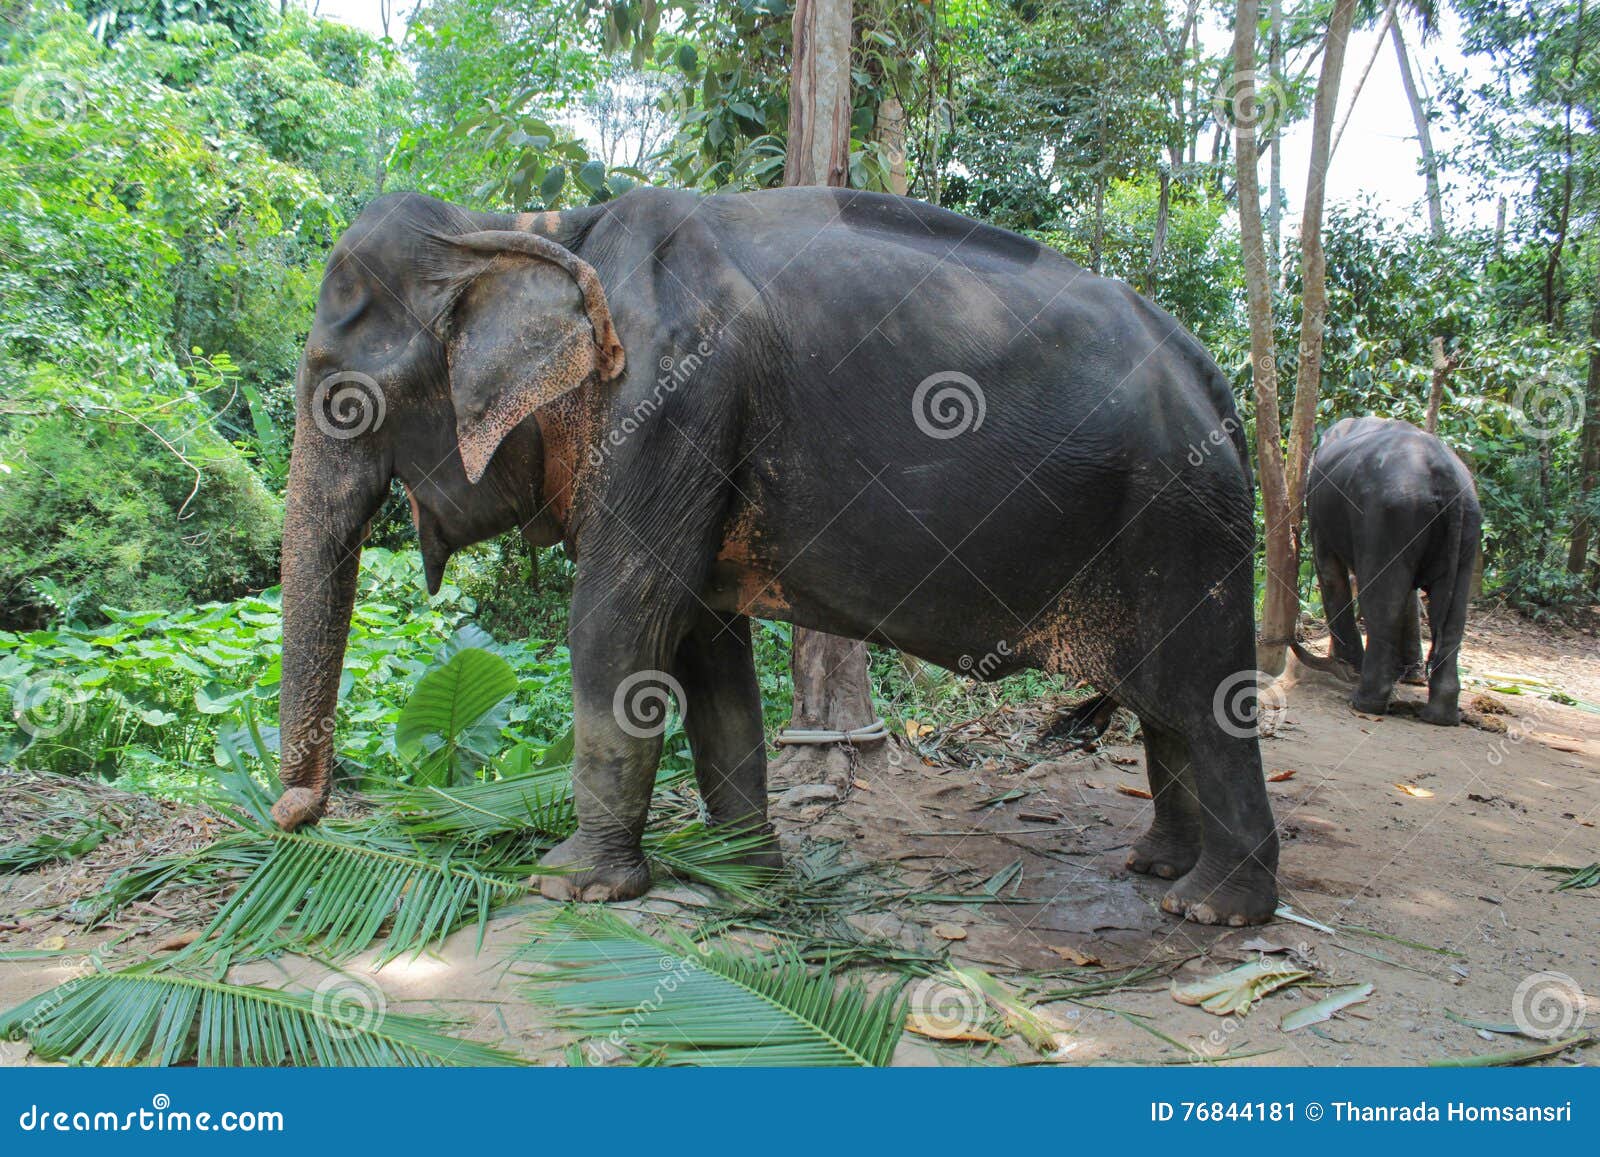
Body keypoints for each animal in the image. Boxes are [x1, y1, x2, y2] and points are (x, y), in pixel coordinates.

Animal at [271, 186, 1279, 926]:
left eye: (343, 397)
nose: (293, 818)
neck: (536, 227)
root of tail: (1211, 372)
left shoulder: (671, 399)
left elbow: (619, 621)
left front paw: (571, 884)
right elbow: (706, 650)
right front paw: (745, 874)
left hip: (1184, 521)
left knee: (1207, 698)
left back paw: (1214, 911)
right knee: (1167, 710)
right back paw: (1158, 867)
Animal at [1292, 416, 1481, 725]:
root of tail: (1444, 474)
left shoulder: (1319, 509)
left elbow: (1330, 571)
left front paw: (1349, 666)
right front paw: (1410, 676)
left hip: (1386, 517)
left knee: (1382, 605)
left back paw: (1364, 701)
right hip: (1467, 525)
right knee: (1453, 612)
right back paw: (1440, 715)